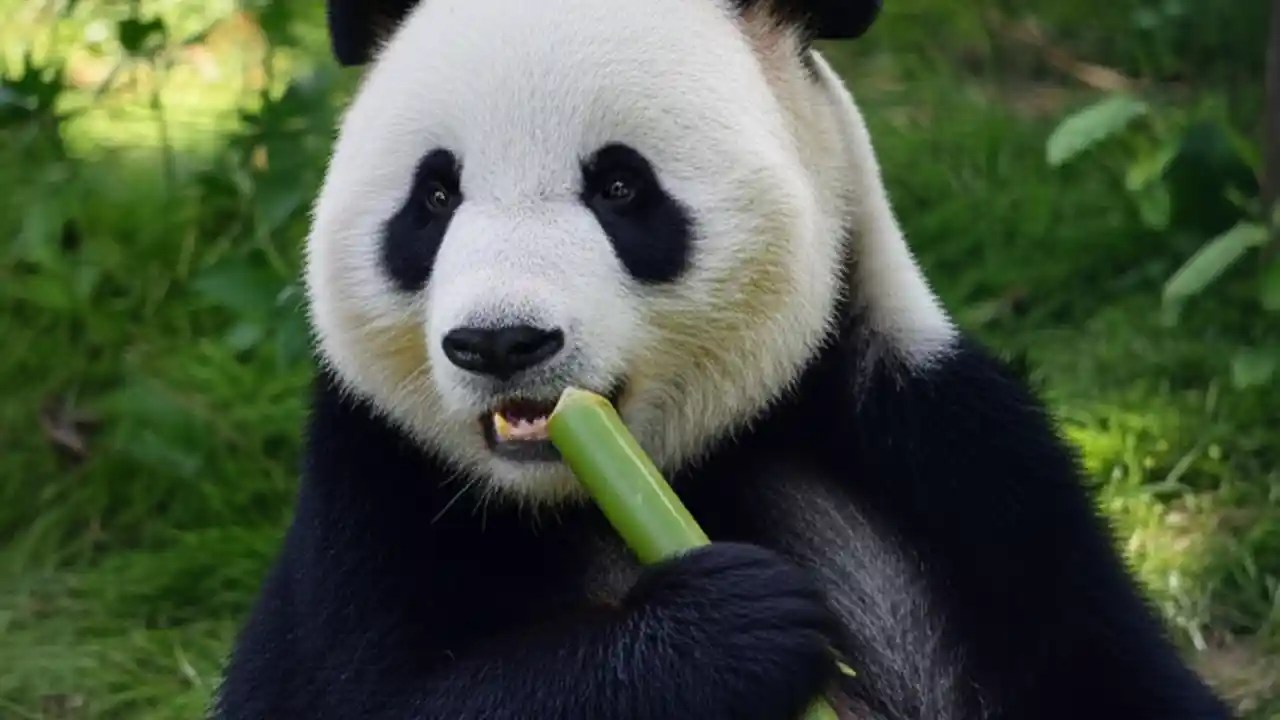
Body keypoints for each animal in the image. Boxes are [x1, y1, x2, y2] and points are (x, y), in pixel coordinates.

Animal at [214, 0, 1234, 718]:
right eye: (433, 198)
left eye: (621, 186)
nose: (502, 341)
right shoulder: (371, 502)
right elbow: (380, 698)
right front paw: (723, 629)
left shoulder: (957, 469)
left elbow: (1105, 672)